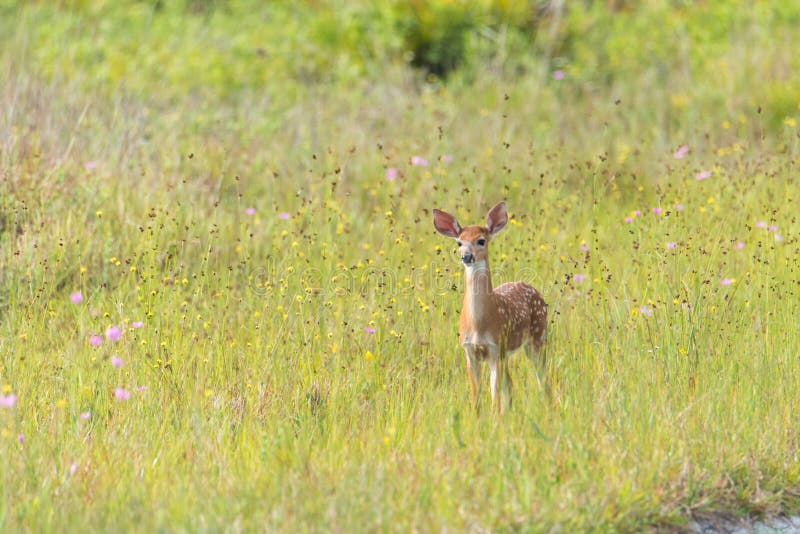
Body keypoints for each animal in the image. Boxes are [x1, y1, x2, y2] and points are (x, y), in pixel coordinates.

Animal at [433, 201, 547, 414]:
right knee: (511, 385)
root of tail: (532, 287)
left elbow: (495, 395)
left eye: (481, 240)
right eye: (459, 243)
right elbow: (476, 395)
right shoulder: (469, 350)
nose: (466, 256)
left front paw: (495, 418)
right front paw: (477, 417)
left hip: (537, 337)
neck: (479, 325)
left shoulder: (495, 348)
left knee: (543, 380)